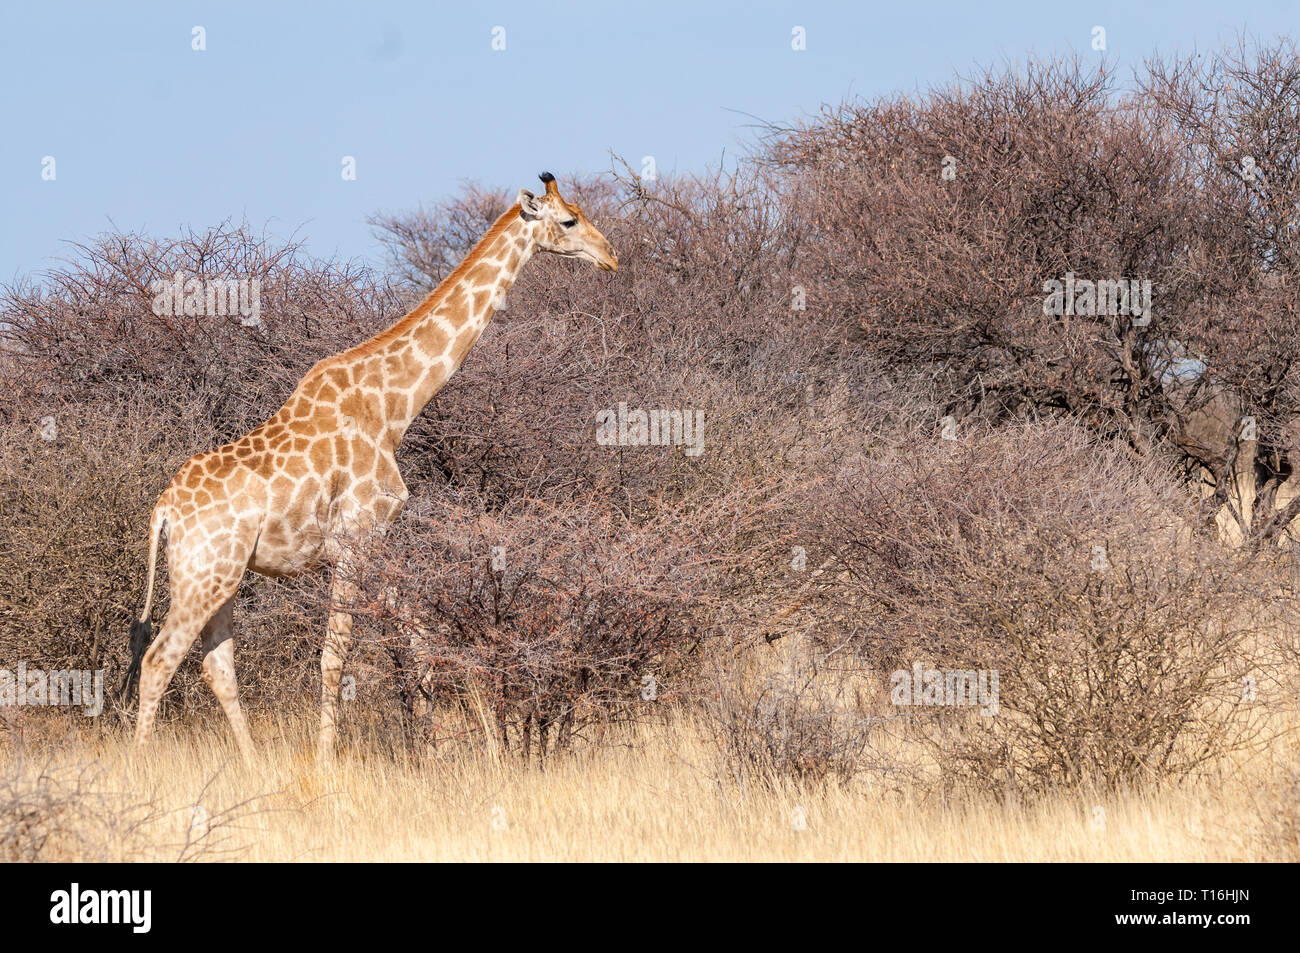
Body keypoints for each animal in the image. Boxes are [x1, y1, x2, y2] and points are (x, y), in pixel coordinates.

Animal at [123, 173, 618, 762]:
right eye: (568, 220)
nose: (611, 256)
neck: (391, 408)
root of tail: (164, 510)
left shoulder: (376, 541)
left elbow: (423, 639)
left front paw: (447, 746)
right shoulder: (353, 538)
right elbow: (335, 655)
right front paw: (326, 760)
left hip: (220, 576)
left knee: (216, 666)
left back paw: (253, 766)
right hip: (204, 574)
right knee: (159, 660)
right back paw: (141, 766)